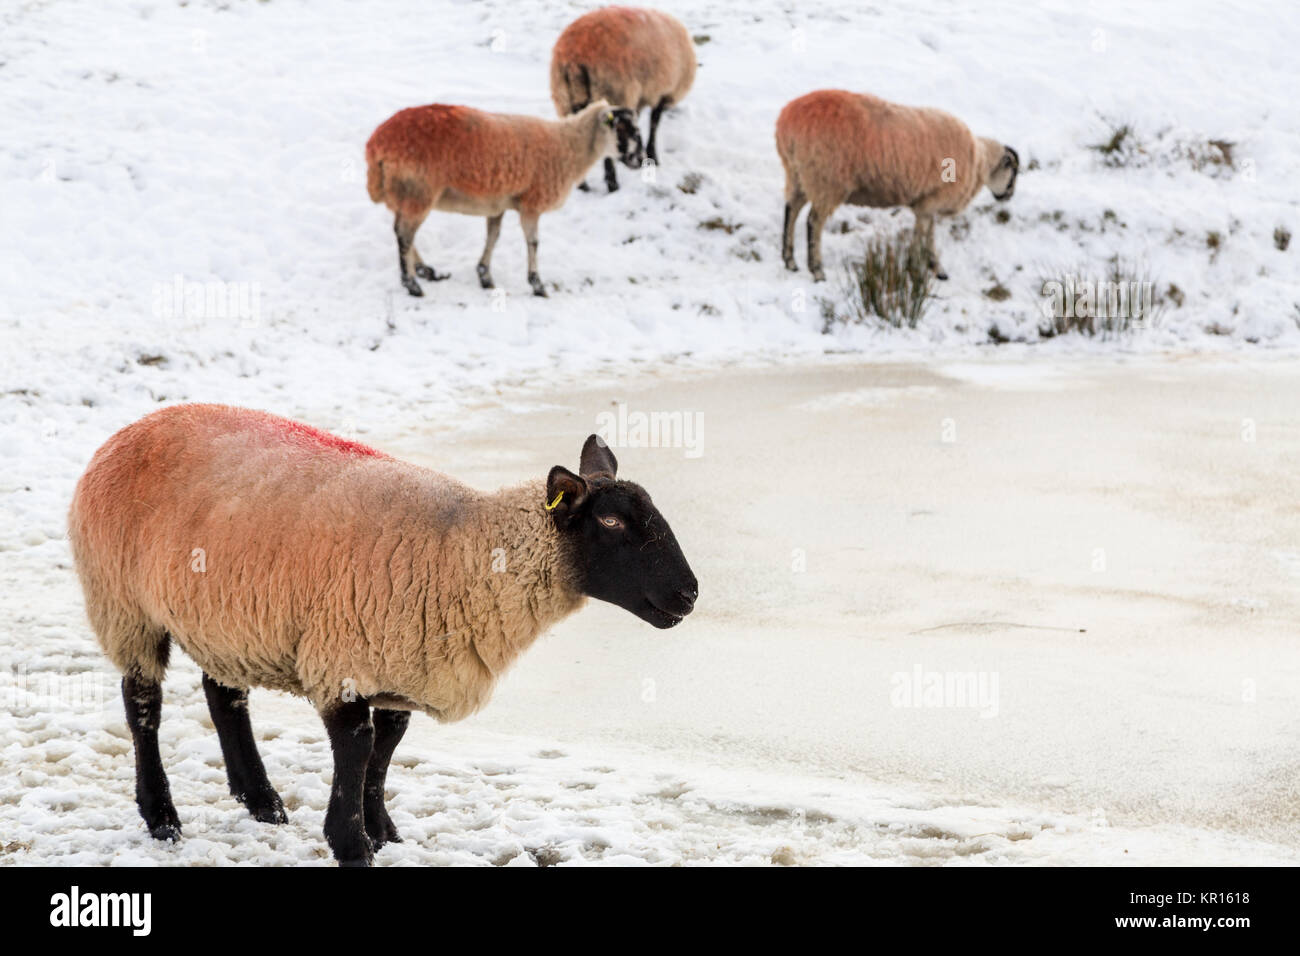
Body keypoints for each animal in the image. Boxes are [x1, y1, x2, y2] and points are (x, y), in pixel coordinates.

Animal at [68, 404, 698, 866]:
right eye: (611, 521)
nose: (690, 594)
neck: (465, 550)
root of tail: (130, 429)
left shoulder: (404, 662)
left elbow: (386, 749)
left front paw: (382, 830)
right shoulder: (342, 660)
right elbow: (358, 748)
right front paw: (350, 843)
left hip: (223, 616)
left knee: (224, 698)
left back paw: (263, 802)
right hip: (125, 605)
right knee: (142, 706)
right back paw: (162, 818)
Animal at [365, 100, 644, 297]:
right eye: (622, 128)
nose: (640, 160)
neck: (567, 147)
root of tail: (376, 145)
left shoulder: (497, 203)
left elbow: (493, 236)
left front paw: (485, 276)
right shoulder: (531, 202)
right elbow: (533, 242)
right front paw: (537, 284)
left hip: (403, 192)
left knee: (402, 231)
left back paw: (426, 271)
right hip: (418, 189)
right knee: (404, 235)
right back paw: (412, 284)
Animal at [550, 6, 696, 192]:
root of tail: (575, 57)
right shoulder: (662, 93)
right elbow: (654, 123)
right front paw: (653, 156)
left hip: (565, 100)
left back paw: (584, 185)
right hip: (613, 92)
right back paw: (613, 185)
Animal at [775, 89, 1019, 281]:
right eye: (1014, 171)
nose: (1008, 196)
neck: (978, 161)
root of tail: (788, 121)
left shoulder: (927, 203)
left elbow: (928, 235)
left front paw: (935, 268)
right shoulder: (931, 202)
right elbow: (921, 237)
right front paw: (915, 267)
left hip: (797, 175)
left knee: (791, 210)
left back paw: (789, 260)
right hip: (826, 180)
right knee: (813, 222)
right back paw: (817, 270)